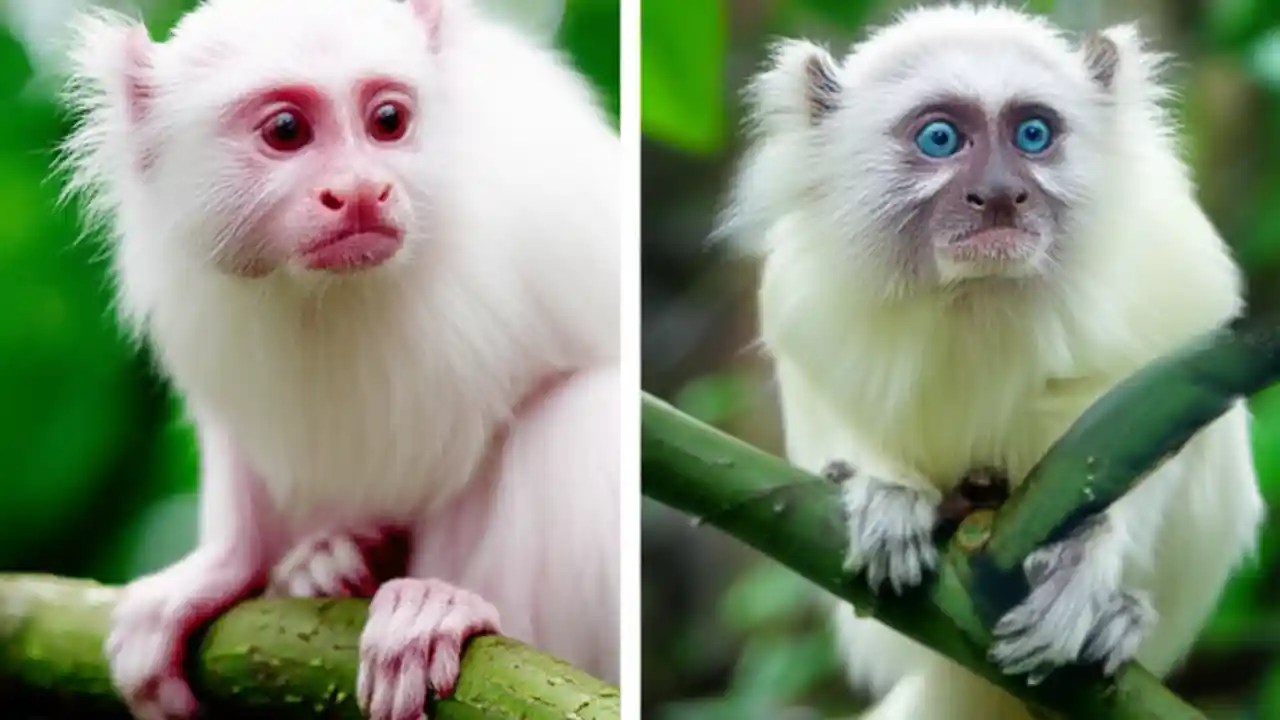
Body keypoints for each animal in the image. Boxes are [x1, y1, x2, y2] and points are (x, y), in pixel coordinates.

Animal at [59, 0, 620, 718]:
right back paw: (333, 561)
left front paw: (444, 605)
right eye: (286, 130)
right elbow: (233, 428)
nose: (359, 191)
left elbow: (531, 420)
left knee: (587, 409)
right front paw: (221, 568)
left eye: (388, 121)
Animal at [719, 5, 1265, 719]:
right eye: (941, 139)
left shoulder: (1179, 279)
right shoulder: (802, 301)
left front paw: (1088, 557)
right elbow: (833, 416)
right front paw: (886, 496)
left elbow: (1167, 425)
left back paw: (1119, 617)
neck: (980, 296)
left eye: (1033, 134)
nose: (1002, 195)